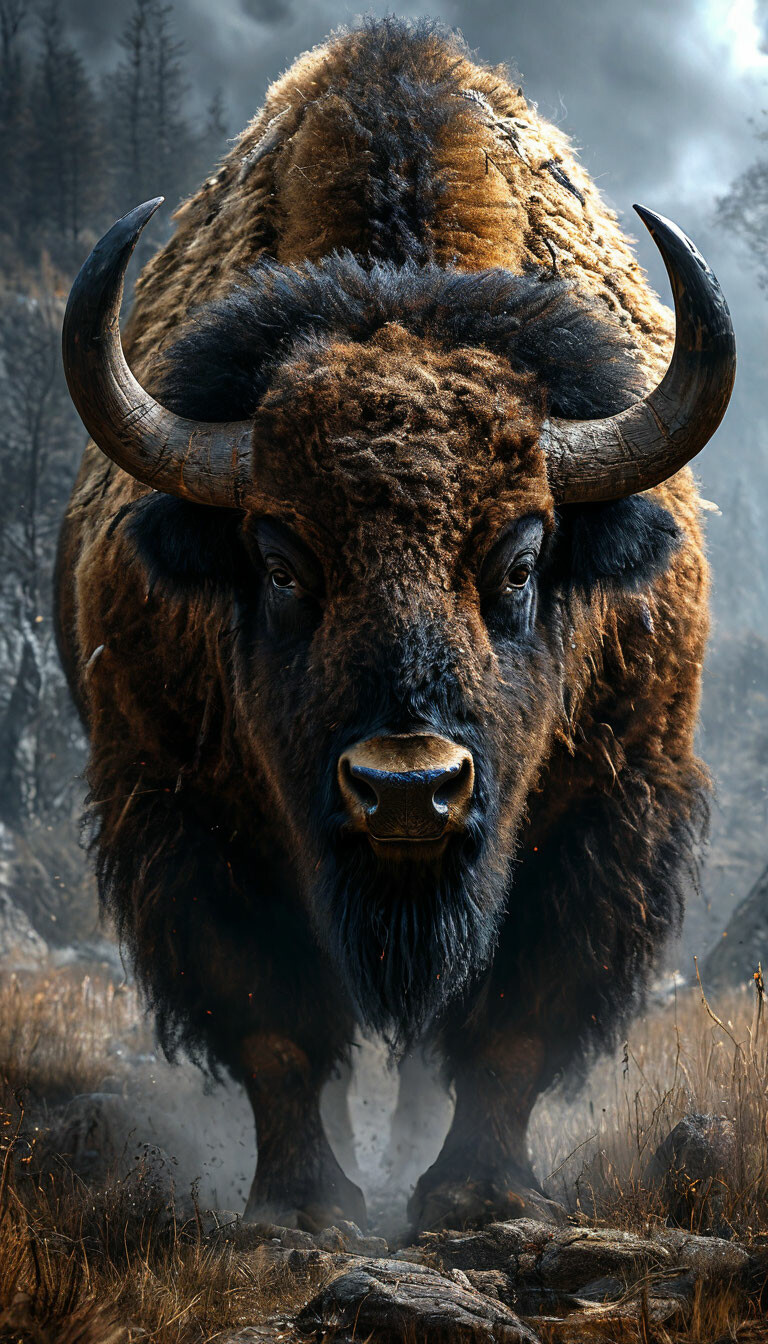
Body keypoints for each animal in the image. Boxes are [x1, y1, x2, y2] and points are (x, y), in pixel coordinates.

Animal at [57, 19, 735, 1232]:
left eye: (522, 559)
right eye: (279, 561)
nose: (408, 789)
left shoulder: (606, 812)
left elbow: (513, 1021)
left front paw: (478, 1196)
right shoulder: (180, 814)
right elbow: (274, 1024)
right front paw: (302, 1209)